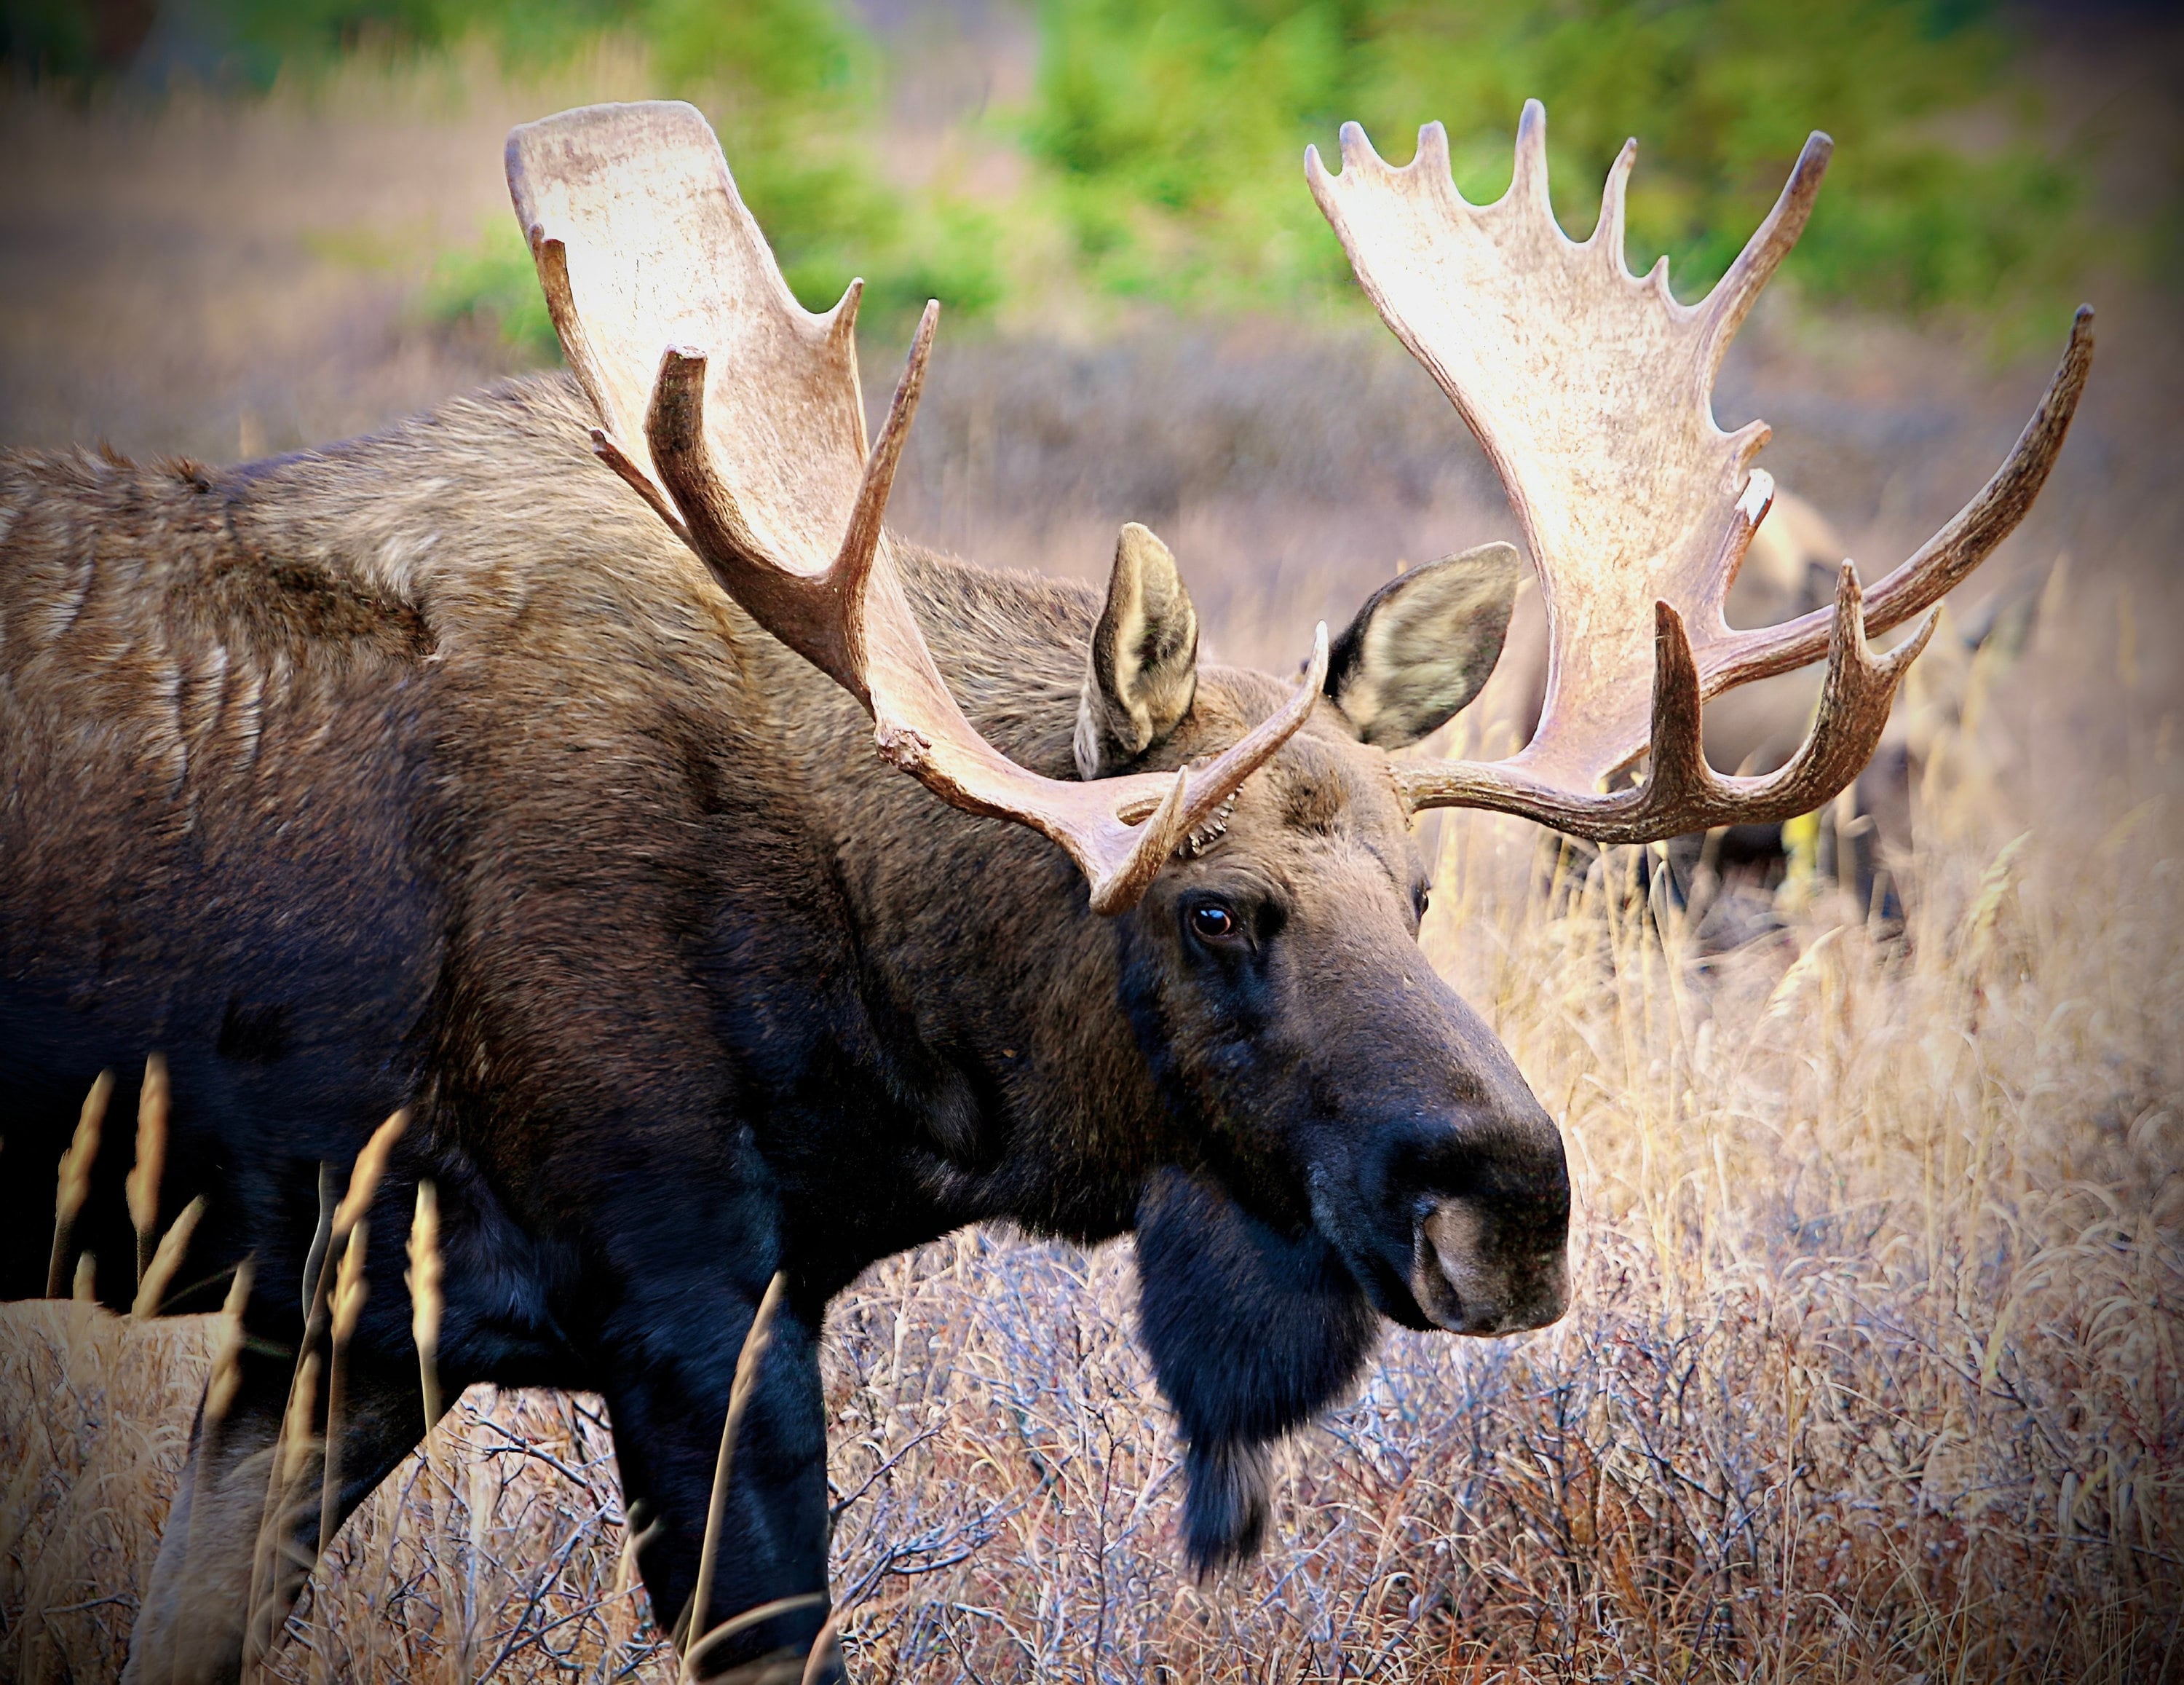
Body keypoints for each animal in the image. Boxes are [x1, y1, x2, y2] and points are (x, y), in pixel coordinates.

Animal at [0, 99, 2088, 1683]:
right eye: (1213, 907)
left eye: (1422, 893)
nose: (1515, 1203)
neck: (896, 1053)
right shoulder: (686, 1303)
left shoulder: (341, 1323)